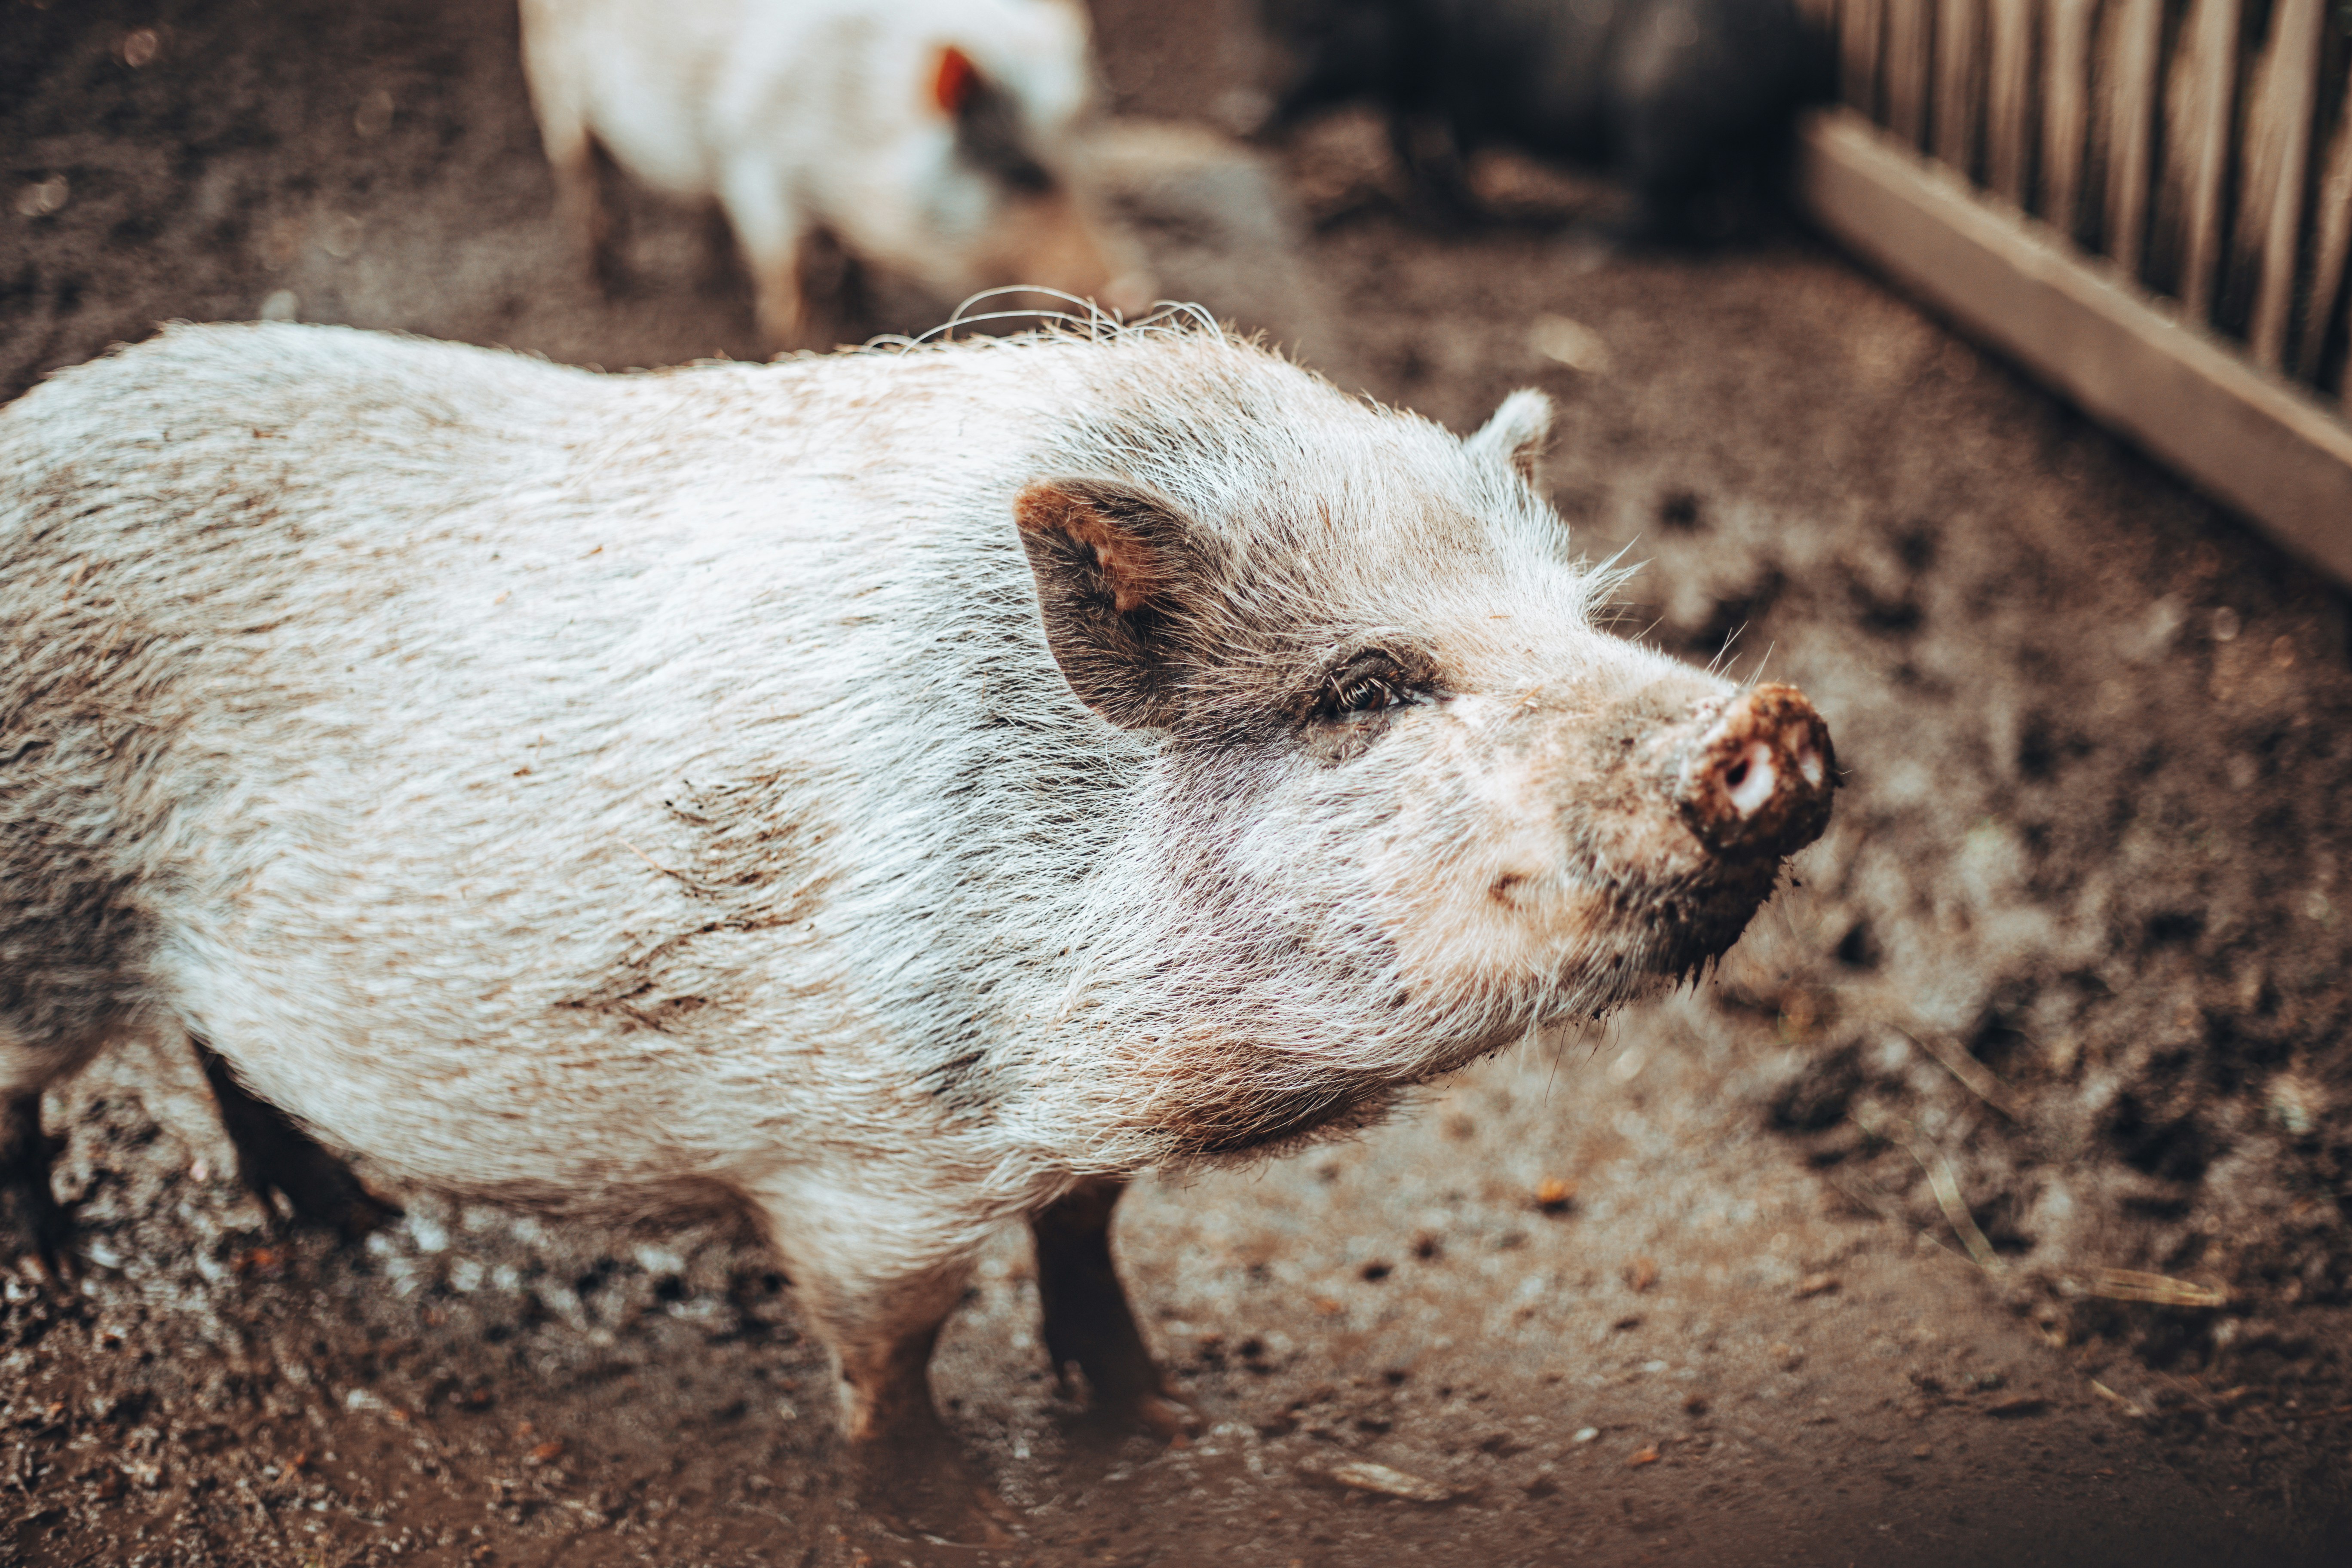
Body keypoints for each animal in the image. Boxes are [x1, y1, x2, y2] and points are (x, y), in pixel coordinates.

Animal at [0, 319, 1833, 1537]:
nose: (1772, 725)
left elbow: (1087, 1229)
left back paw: (345, 1219)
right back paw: (58, 1266)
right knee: (36, 1092)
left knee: (222, 1051)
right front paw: (942, 1505)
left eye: (1570, 617)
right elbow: (894, 1346)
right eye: (1363, 687)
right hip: (37, 905)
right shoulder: (859, 1166)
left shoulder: (1062, 1132)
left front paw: (1150, 1405)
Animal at [518, 0, 1153, 346]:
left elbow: (850, 258)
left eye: (1090, 161)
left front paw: (861, 312)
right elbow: (790, 272)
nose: (1135, 293)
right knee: (582, 174)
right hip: (553, 81)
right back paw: (602, 284)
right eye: (1023, 174)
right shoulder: (758, 169)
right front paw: (807, 342)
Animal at [1261, 0, 1828, 239]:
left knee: (1660, 207)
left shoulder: (1461, 88)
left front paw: (1450, 214)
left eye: (1322, 27)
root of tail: (1797, 46)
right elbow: (1398, 142)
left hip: (1655, 115)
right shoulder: (1404, 94)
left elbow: (1458, 145)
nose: (1254, 109)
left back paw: (1585, 241)